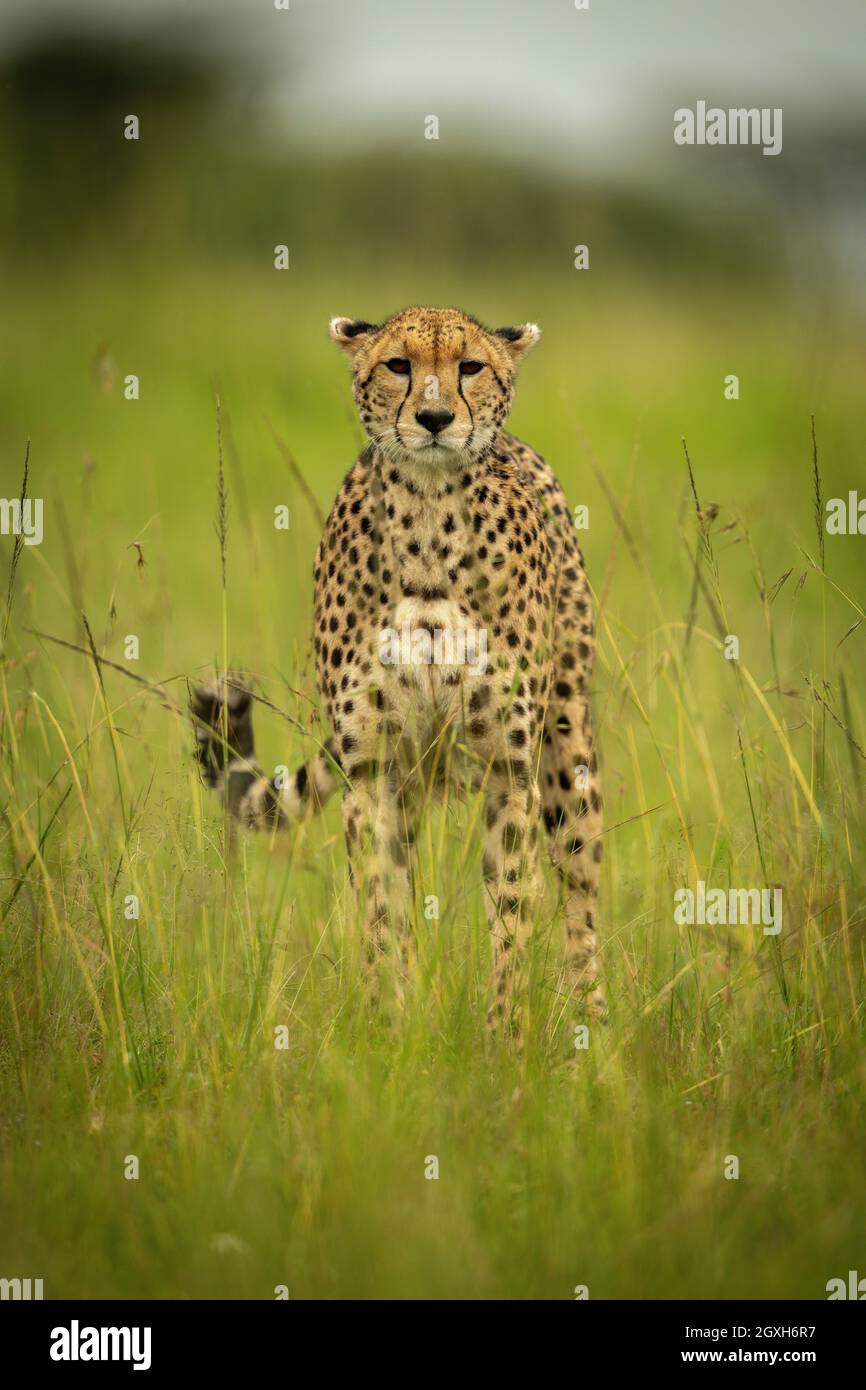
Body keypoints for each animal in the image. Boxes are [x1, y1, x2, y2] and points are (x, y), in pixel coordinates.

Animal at [191, 306, 604, 1030]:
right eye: (398, 366)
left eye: (470, 367)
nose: (435, 418)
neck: (430, 517)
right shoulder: (373, 768)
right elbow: (384, 911)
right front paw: (392, 1026)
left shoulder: (511, 770)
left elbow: (513, 915)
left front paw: (506, 1038)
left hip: (566, 741)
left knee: (580, 898)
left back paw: (599, 1033)